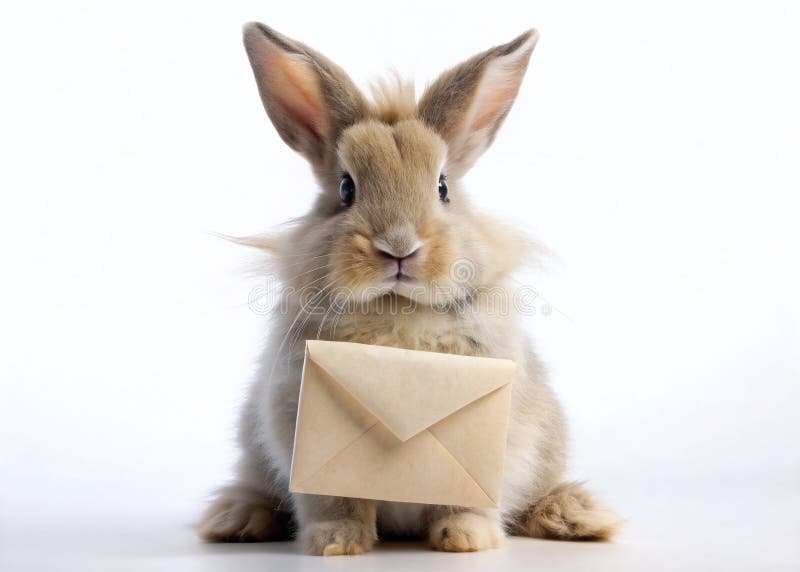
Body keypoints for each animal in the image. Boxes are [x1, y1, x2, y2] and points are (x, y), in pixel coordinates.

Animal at [197, 22, 621, 555]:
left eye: (442, 187)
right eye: (346, 189)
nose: (399, 248)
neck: (397, 312)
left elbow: (461, 498)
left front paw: (465, 540)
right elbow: (338, 499)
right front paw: (336, 544)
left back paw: (577, 517)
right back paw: (237, 519)